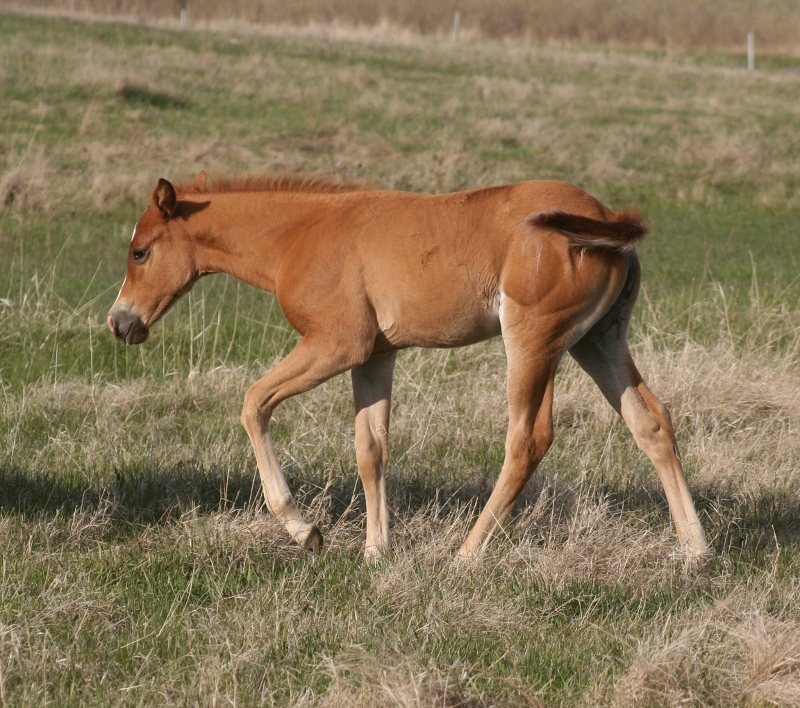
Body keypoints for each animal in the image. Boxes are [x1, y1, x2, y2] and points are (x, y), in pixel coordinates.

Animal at [108, 171, 709, 561]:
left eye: (140, 251)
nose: (120, 323)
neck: (300, 234)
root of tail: (604, 219)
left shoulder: (336, 344)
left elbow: (254, 403)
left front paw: (305, 530)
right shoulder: (375, 355)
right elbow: (370, 448)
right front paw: (376, 550)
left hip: (534, 340)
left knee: (528, 439)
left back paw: (468, 553)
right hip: (598, 342)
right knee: (652, 422)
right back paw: (694, 549)